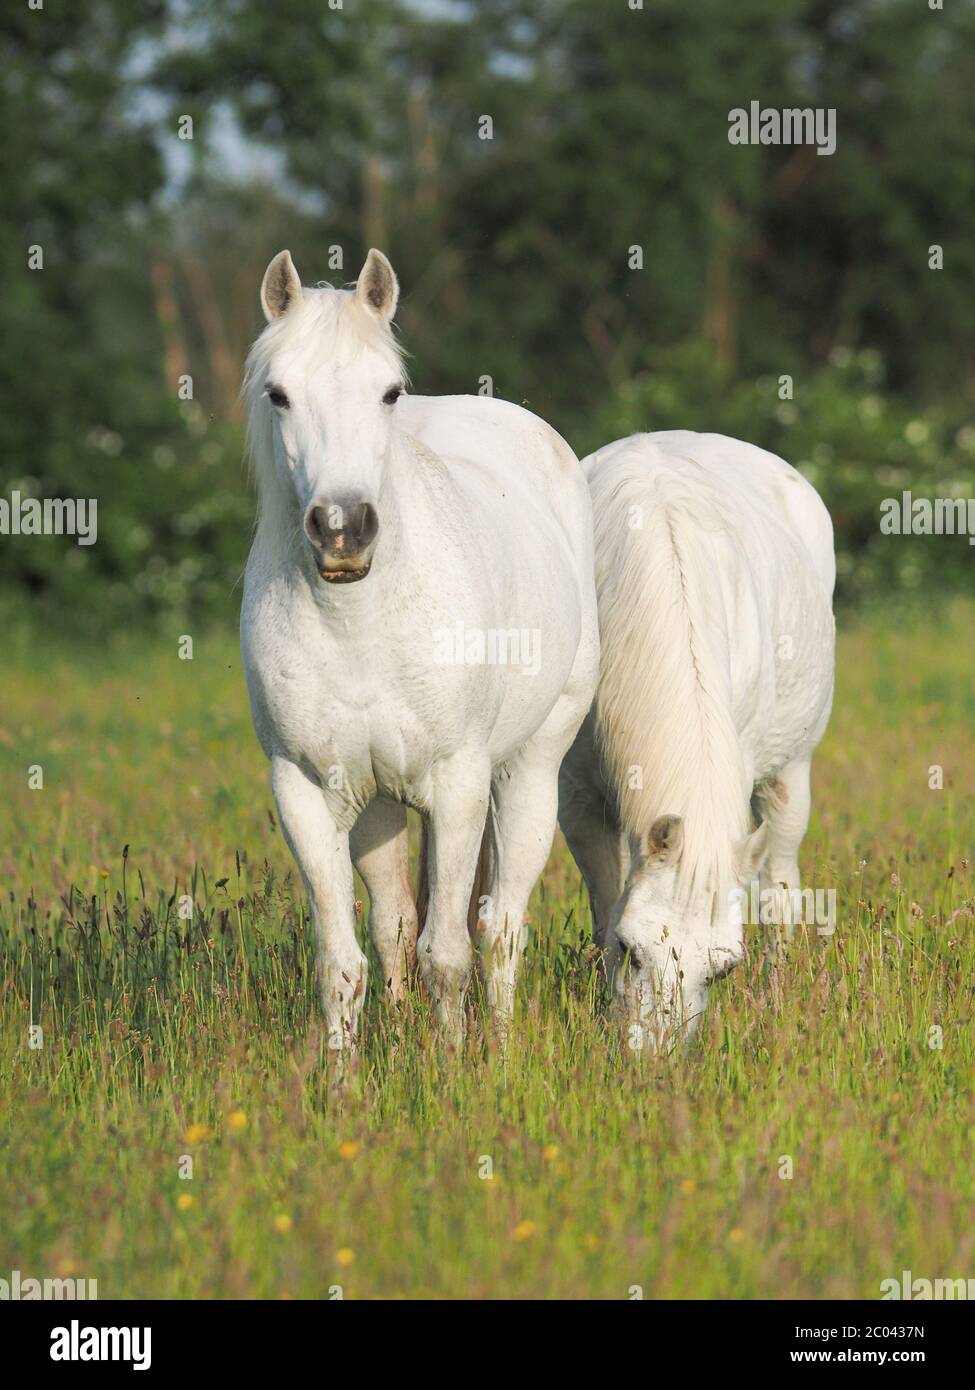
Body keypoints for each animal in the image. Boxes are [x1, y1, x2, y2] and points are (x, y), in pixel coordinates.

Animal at [240, 248, 599, 1052]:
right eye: (278, 394)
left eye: (388, 393)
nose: (343, 528)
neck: (358, 624)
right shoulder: (304, 793)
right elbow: (345, 963)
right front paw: (345, 1077)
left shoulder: (459, 782)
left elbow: (449, 955)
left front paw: (453, 1068)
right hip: (377, 802)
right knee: (396, 922)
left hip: (528, 772)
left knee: (500, 924)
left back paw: (498, 1046)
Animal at [558, 430, 835, 1051]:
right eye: (631, 950)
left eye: (724, 969)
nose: (655, 1061)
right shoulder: (578, 799)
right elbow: (605, 902)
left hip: (792, 774)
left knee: (780, 886)